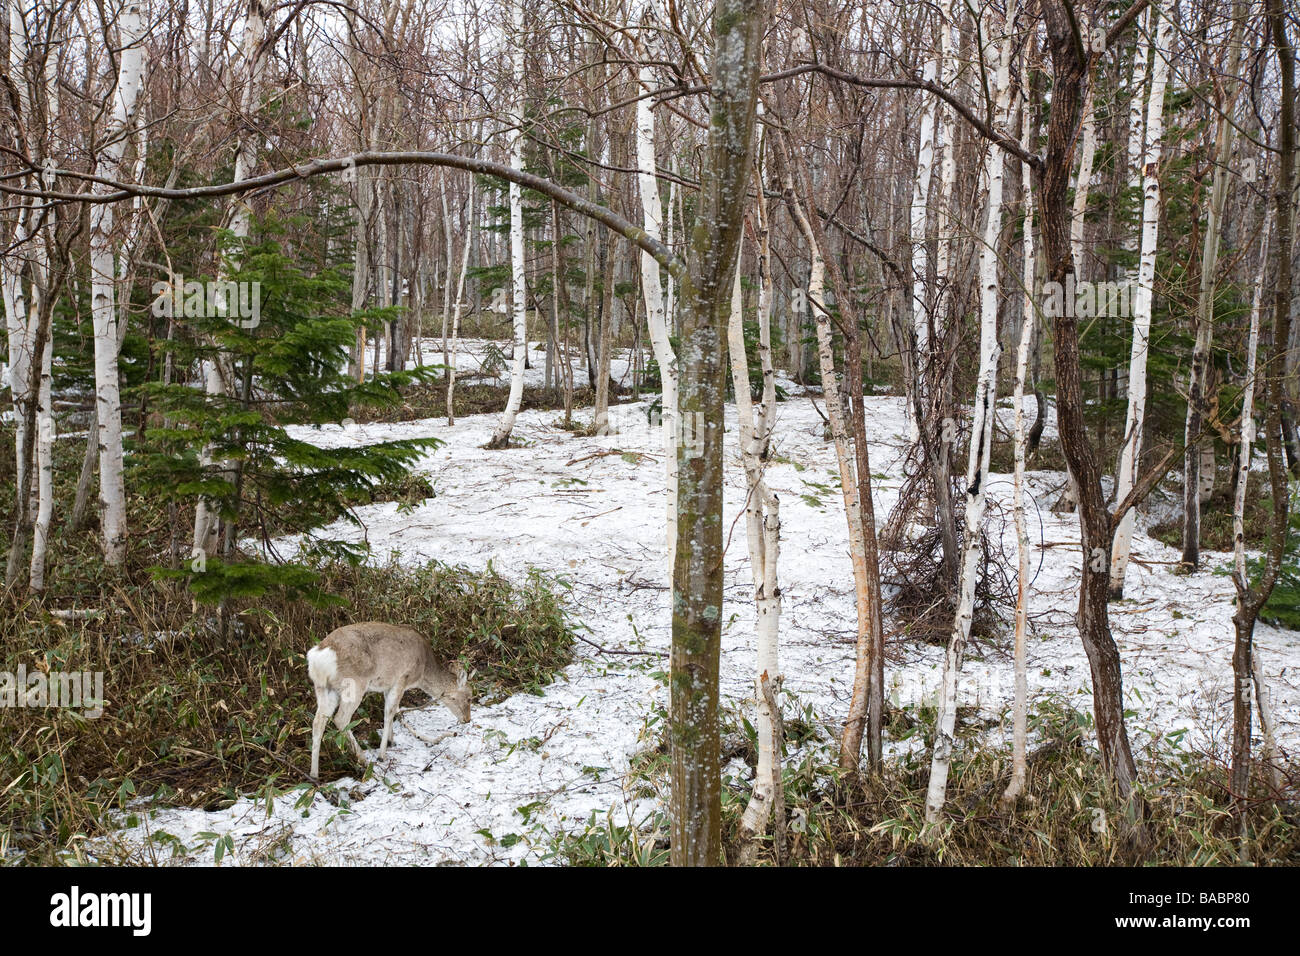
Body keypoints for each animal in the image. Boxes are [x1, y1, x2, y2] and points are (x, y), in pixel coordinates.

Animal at [307, 622, 471, 779]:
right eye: (469, 698)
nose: (468, 719)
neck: (422, 672)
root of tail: (318, 656)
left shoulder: (388, 685)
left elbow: (390, 710)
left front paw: (392, 741)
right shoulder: (402, 678)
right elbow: (390, 712)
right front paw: (382, 754)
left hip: (324, 688)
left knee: (318, 721)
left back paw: (314, 774)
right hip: (354, 684)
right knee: (340, 719)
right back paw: (363, 759)